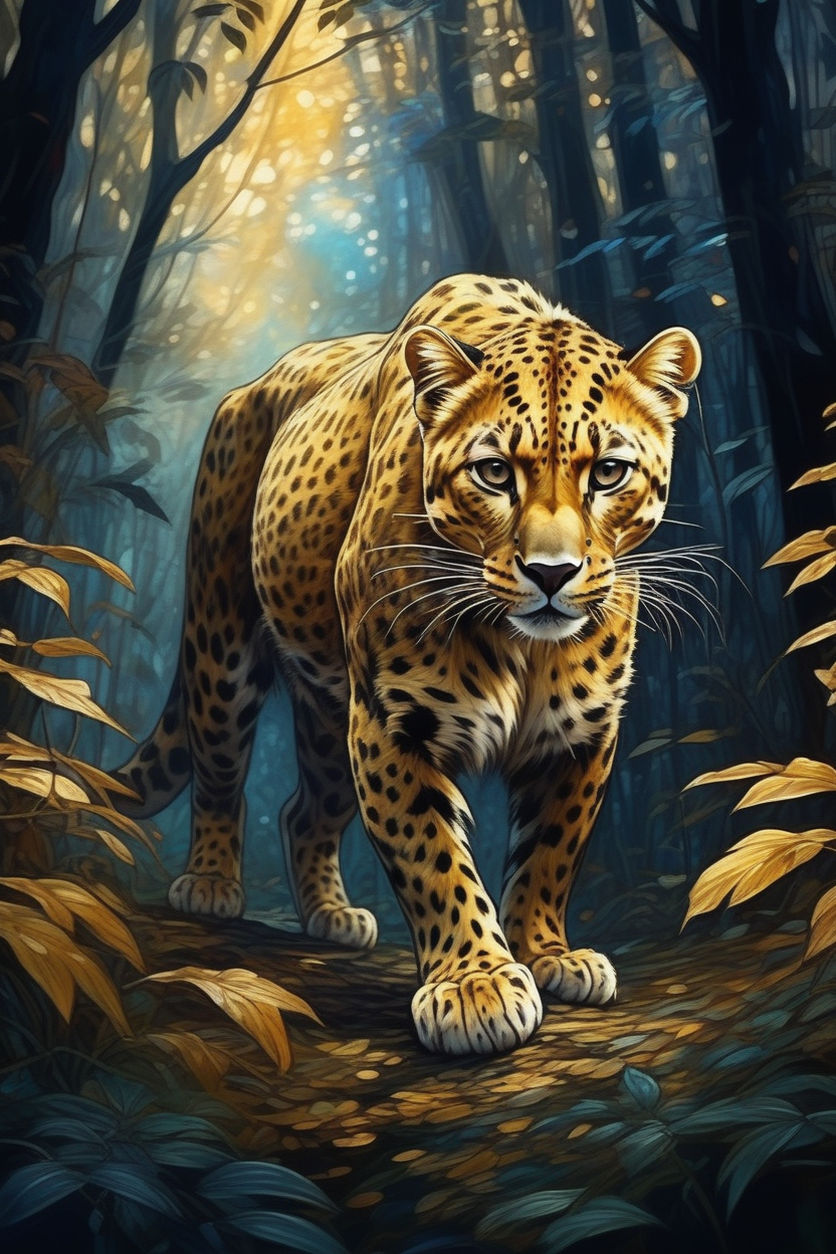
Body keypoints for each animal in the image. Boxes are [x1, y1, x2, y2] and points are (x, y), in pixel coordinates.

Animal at [117, 273, 700, 1057]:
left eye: (609, 472)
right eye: (494, 472)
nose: (552, 573)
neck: (522, 647)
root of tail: (258, 383)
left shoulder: (581, 734)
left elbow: (551, 852)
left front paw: (548, 954)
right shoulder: (395, 722)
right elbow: (434, 855)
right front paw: (477, 988)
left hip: (330, 711)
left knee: (305, 809)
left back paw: (333, 917)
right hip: (223, 642)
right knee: (218, 771)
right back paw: (209, 885)